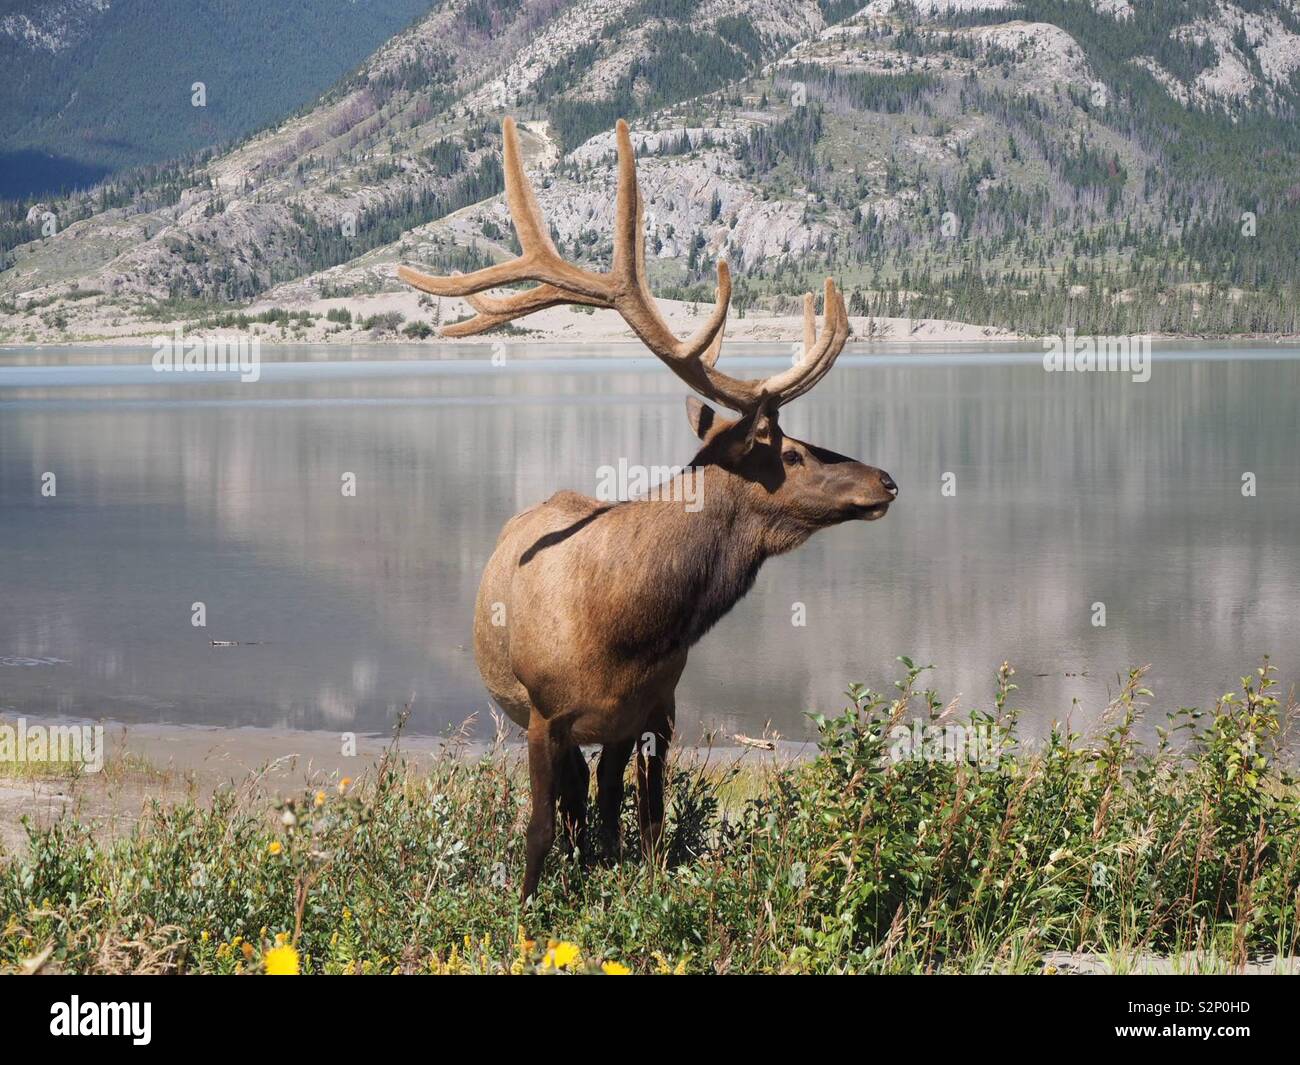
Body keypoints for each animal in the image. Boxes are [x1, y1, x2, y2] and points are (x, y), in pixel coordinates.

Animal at [398, 118, 898, 903]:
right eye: (789, 453)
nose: (884, 480)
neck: (629, 626)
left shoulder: (659, 707)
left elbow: (653, 826)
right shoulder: (543, 715)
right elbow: (538, 831)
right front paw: (528, 908)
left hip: (613, 729)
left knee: (601, 799)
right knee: (577, 801)